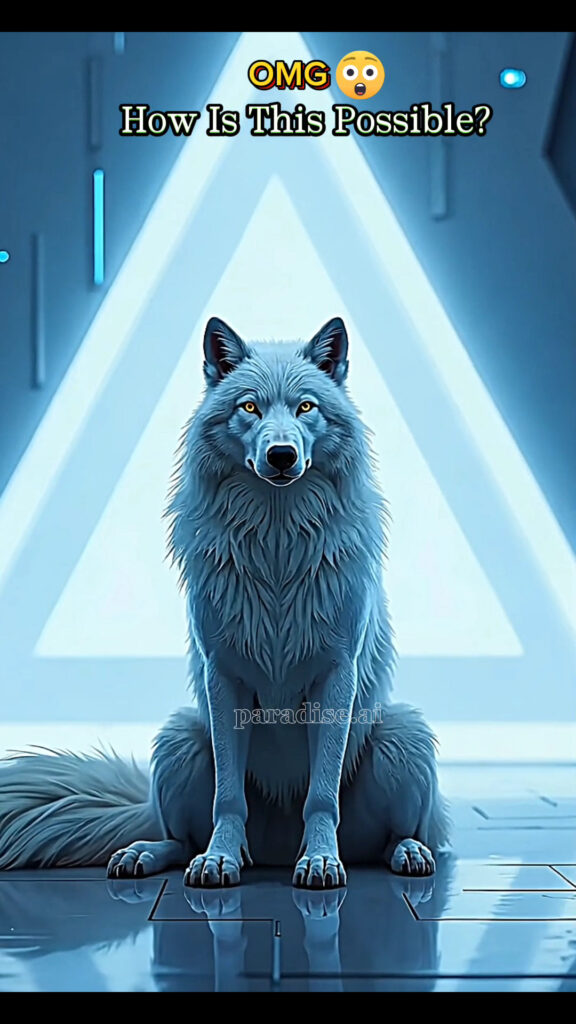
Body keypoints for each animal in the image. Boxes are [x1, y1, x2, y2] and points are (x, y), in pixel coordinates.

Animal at [0, 317, 449, 888]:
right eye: (250, 407)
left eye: (306, 407)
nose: (281, 456)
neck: (277, 546)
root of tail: (275, 849)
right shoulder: (223, 675)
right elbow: (229, 798)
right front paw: (218, 860)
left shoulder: (337, 674)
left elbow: (321, 794)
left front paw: (320, 861)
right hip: (180, 738)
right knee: (176, 835)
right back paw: (145, 854)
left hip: (404, 735)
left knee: (397, 836)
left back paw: (406, 853)